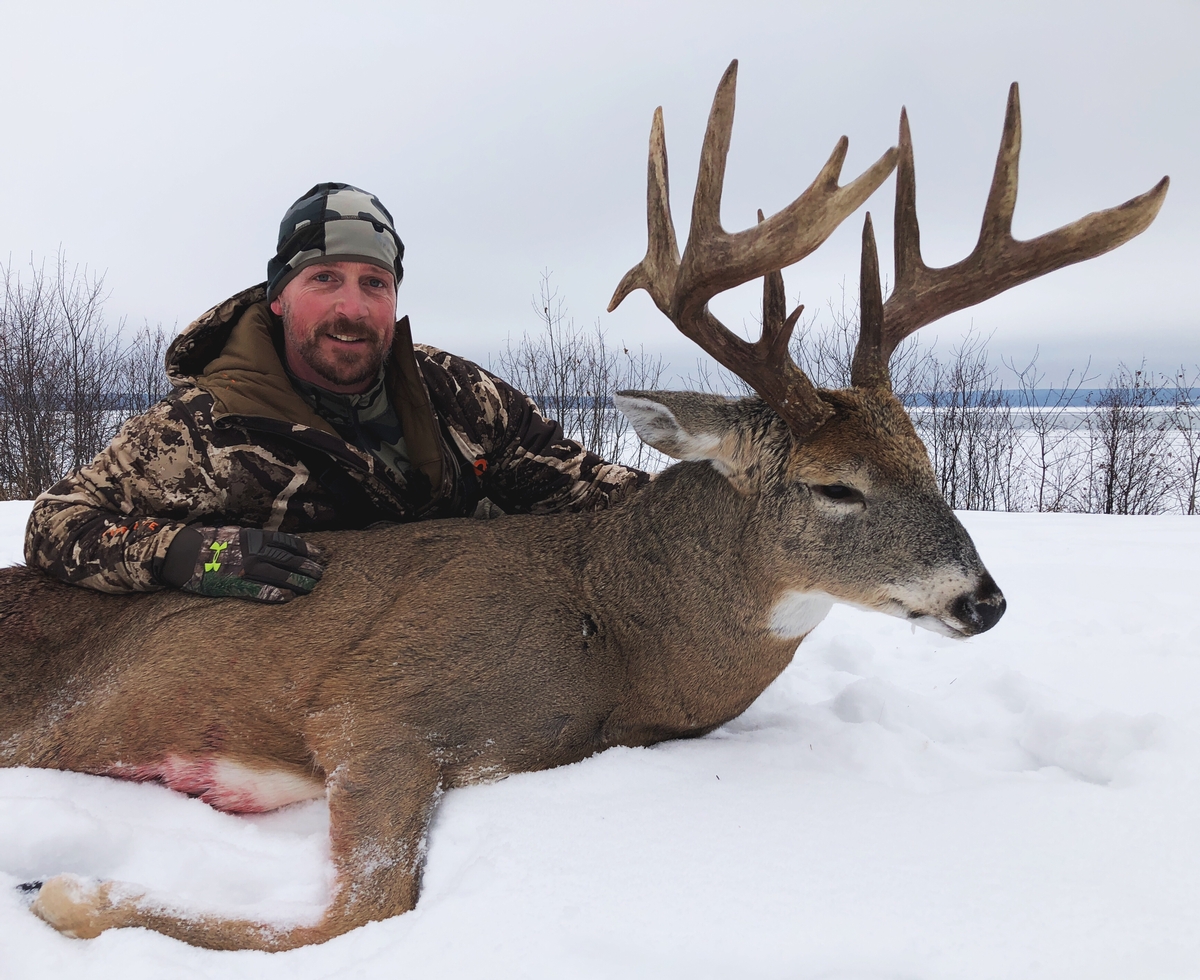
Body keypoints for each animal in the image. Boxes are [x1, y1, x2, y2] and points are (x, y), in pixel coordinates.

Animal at [0, 61, 1167, 950]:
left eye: (926, 456)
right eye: (835, 483)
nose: (984, 599)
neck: (616, 634)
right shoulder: (377, 709)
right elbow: (366, 908)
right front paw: (70, 891)